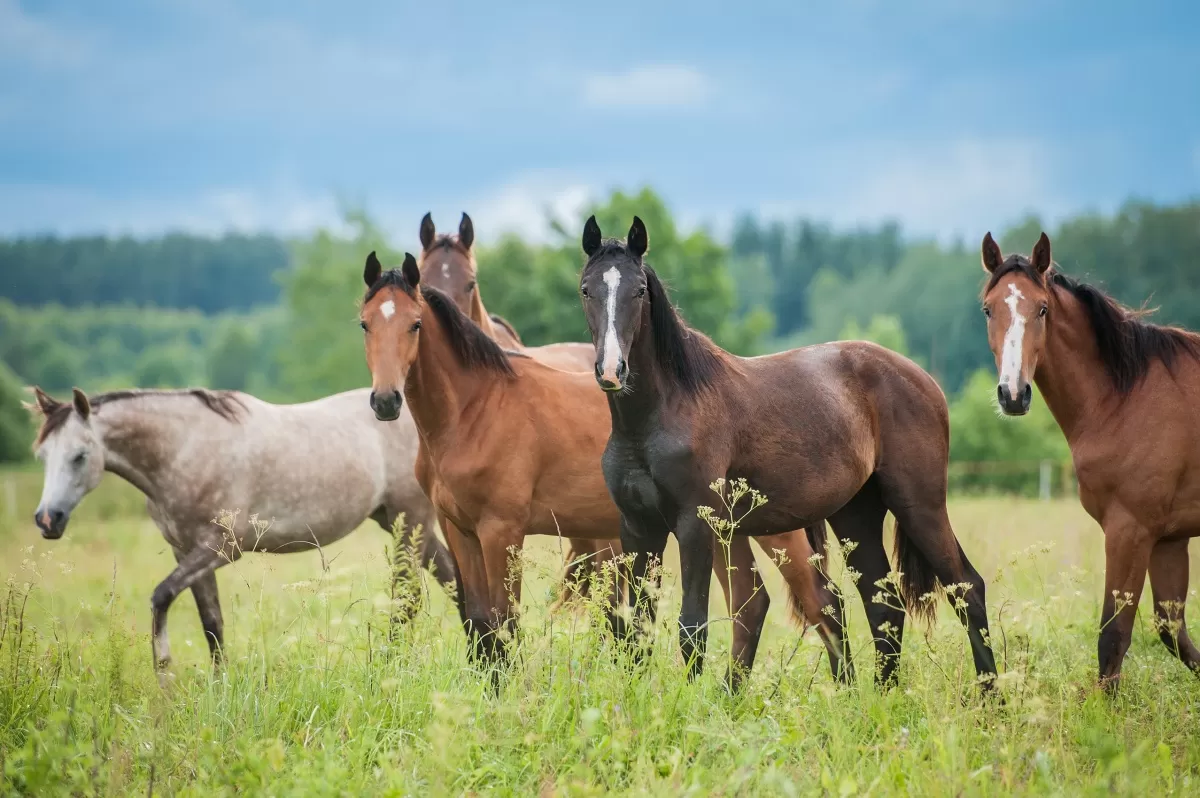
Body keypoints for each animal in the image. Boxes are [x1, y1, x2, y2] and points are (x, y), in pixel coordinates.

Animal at [28, 384, 451, 667]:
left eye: (80, 456)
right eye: (43, 455)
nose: (48, 519)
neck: (184, 449)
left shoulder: (221, 549)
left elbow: (161, 596)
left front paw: (165, 674)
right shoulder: (185, 551)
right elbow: (211, 624)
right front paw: (220, 690)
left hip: (409, 522)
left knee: (408, 597)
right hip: (402, 524)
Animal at [576, 214, 998, 686]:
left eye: (639, 291)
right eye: (587, 289)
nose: (612, 370)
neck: (659, 415)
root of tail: (924, 380)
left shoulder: (695, 526)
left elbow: (692, 626)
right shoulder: (638, 528)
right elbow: (637, 627)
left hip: (919, 505)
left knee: (968, 588)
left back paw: (989, 694)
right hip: (856, 516)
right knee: (882, 603)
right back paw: (884, 695)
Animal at [984, 230, 1200, 686]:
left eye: (1042, 308)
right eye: (988, 309)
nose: (1013, 394)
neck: (1124, 397)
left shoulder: (1129, 532)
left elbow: (1112, 638)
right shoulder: (1169, 539)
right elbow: (1173, 632)